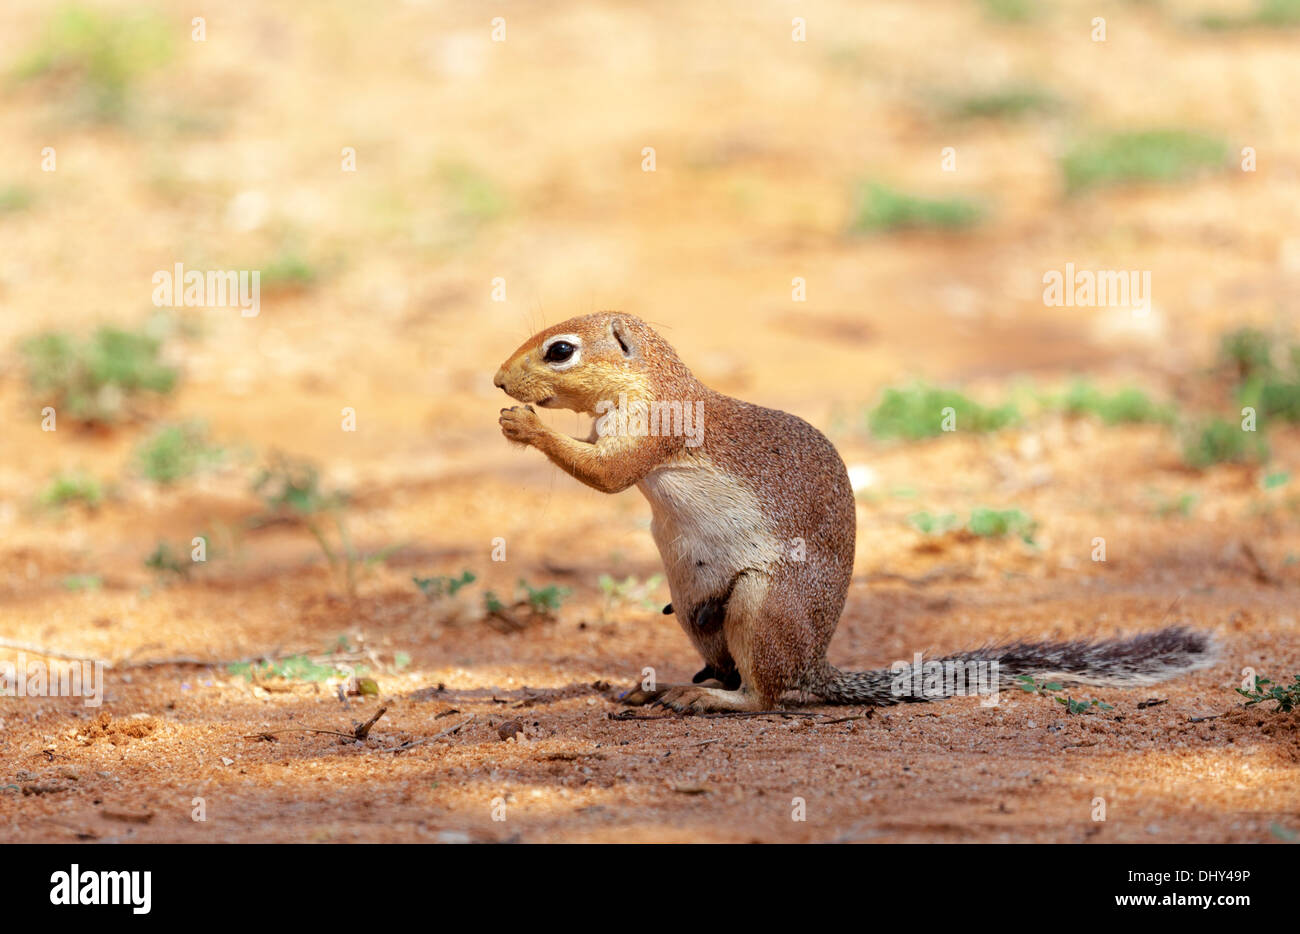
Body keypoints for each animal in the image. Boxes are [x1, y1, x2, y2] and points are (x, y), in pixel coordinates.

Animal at [494, 312, 1215, 713]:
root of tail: (815, 664)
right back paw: (661, 686)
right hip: (700, 616)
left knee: (765, 697)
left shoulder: (655, 430)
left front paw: (523, 424)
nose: (498, 381)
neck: (653, 383)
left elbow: (609, 475)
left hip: (759, 606)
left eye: (561, 350)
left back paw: (706, 698)